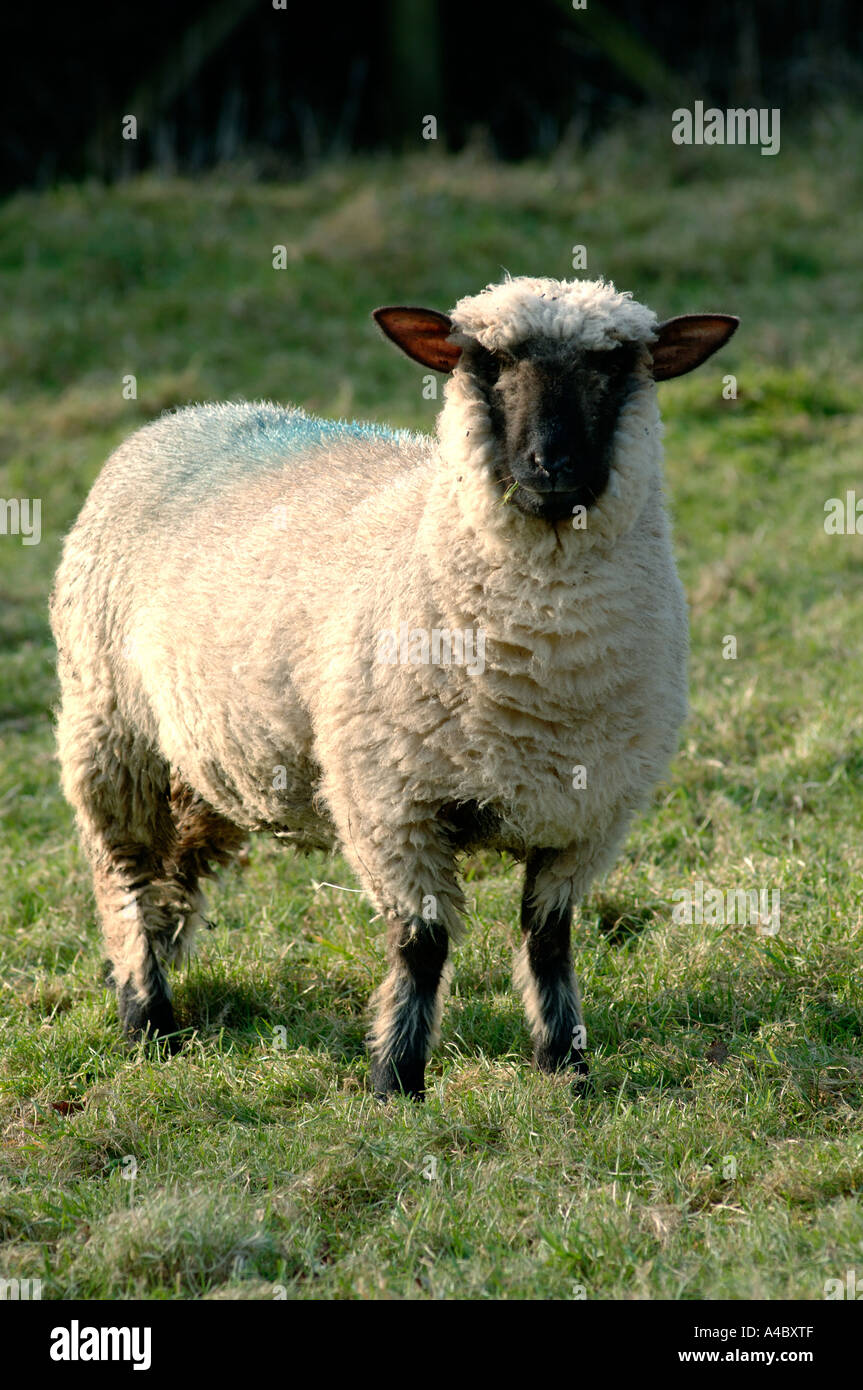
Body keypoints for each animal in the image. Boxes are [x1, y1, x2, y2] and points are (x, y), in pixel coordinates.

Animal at [49, 274, 738, 1099]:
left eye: (612, 363)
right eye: (485, 362)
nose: (551, 463)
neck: (538, 676)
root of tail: (187, 415)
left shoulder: (587, 817)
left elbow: (549, 942)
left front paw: (563, 1065)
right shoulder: (391, 800)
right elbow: (422, 945)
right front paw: (396, 1079)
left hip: (204, 757)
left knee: (170, 871)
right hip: (108, 729)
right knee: (122, 874)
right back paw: (146, 1017)